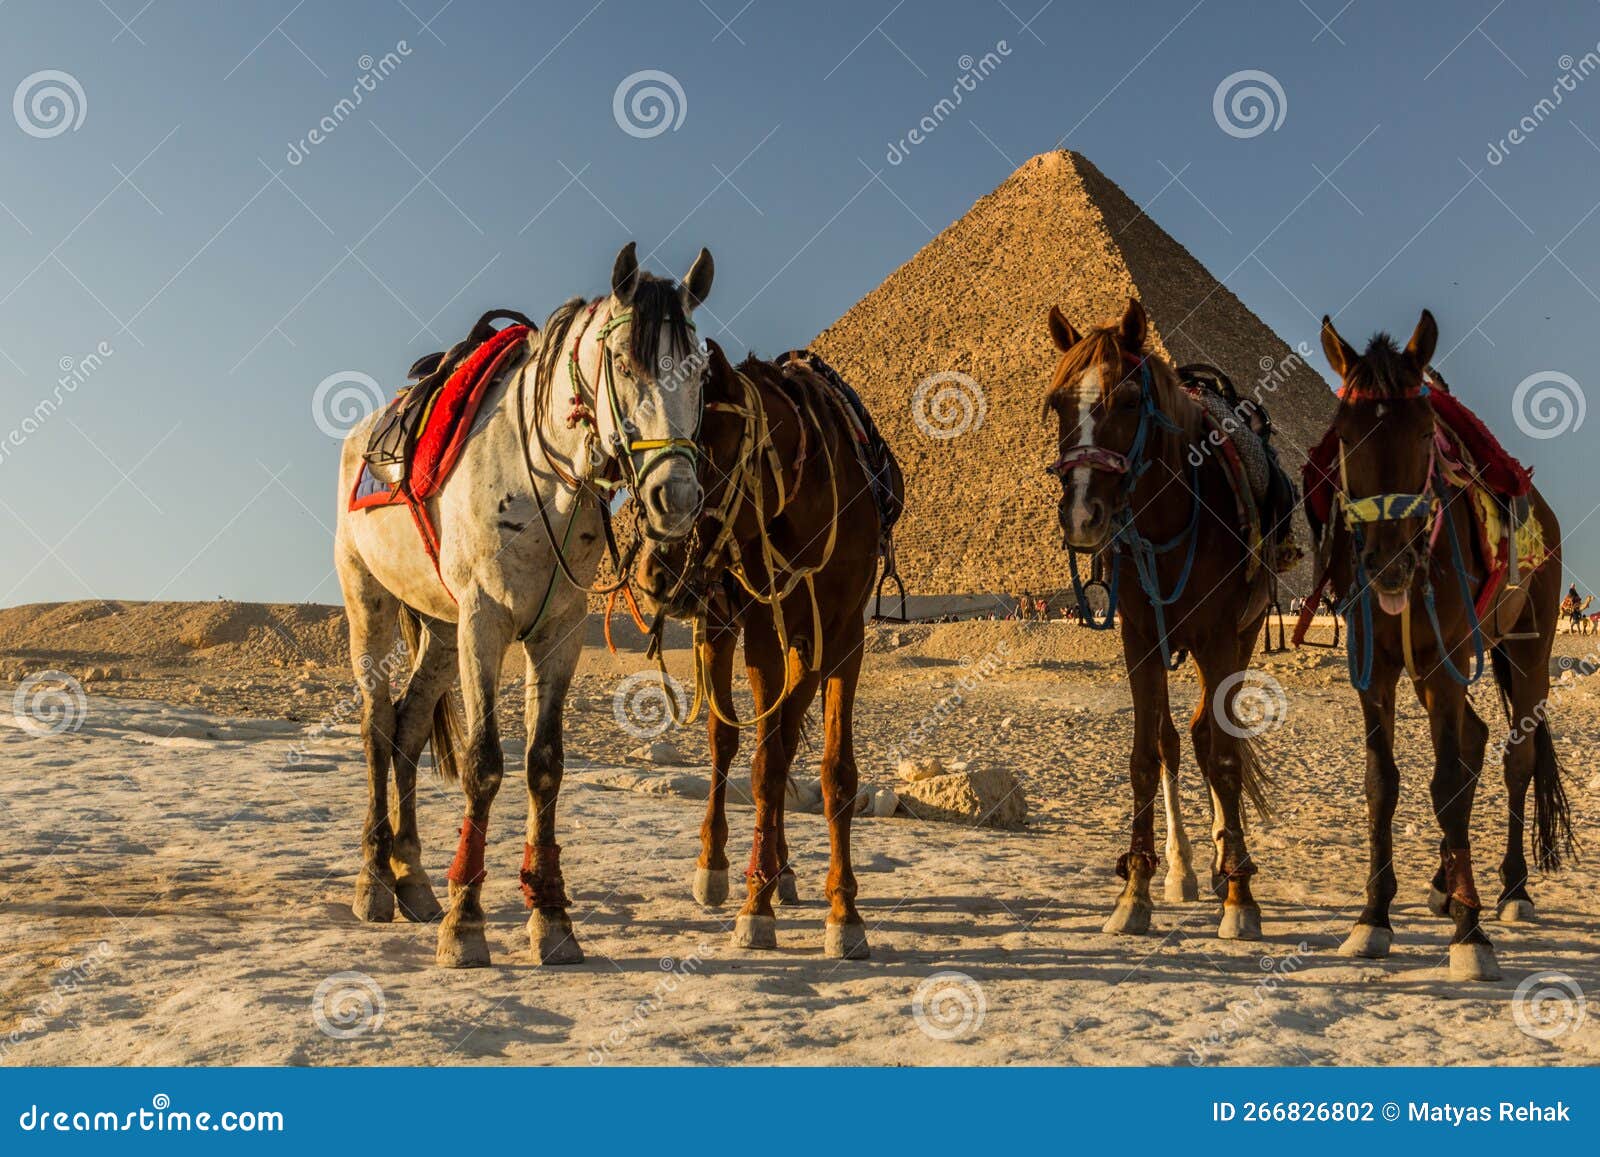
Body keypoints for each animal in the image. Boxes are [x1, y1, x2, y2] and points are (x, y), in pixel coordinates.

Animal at [332, 242, 714, 968]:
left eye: (702, 370)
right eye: (626, 363)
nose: (676, 498)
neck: (544, 475)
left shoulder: (559, 632)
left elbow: (546, 767)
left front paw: (553, 917)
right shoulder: (486, 622)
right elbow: (483, 766)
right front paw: (468, 924)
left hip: (442, 628)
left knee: (409, 725)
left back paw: (414, 880)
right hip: (369, 599)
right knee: (376, 725)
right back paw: (373, 882)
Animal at [632, 343, 903, 958]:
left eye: (708, 458)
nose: (655, 573)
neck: (809, 503)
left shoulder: (844, 638)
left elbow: (831, 771)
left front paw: (844, 912)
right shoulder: (761, 631)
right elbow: (762, 764)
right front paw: (755, 907)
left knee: (781, 739)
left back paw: (782, 871)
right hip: (716, 621)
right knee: (726, 741)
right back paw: (718, 865)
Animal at [1041, 297, 1277, 940]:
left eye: (1126, 401)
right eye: (1057, 402)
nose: (1083, 516)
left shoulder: (1219, 637)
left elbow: (1225, 757)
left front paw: (1241, 898)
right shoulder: (1140, 636)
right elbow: (1145, 757)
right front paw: (1136, 889)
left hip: (1243, 635)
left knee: (1212, 737)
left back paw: (1226, 865)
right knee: (1179, 739)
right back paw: (1186, 868)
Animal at [1310, 310, 1573, 981]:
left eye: (1427, 433)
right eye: (1342, 436)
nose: (1388, 564)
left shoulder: (1448, 663)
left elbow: (1447, 784)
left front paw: (1470, 934)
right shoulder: (1373, 667)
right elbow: (1383, 781)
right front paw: (1373, 918)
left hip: (1525, 651)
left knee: (1515, 758)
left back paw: (1510, 889)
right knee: (1477, 741)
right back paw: (1444, 882)